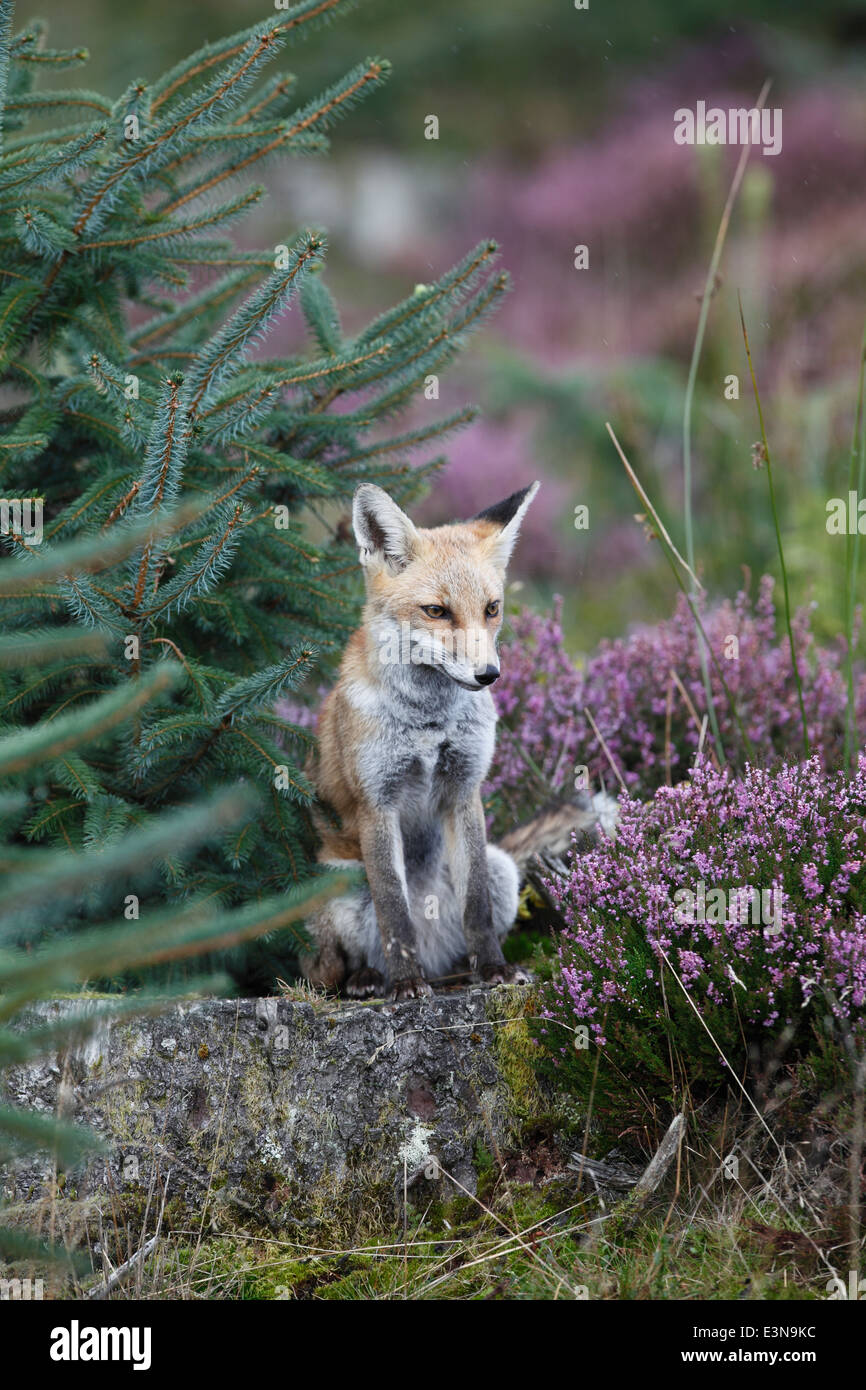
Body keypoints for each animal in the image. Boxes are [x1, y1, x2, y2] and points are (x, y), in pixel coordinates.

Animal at [299, 480, 615, 1002]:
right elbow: (393, 911)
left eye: (492, 609)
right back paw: (372, 980)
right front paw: (406, 984)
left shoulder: (464, 790)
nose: (489, 675)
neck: (428, 725)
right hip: (336, 886)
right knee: (334, 972)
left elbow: (476, 906)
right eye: (437, 611)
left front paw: (494, 970)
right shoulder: (376, 803)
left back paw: (458, 973)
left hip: (503, 868)